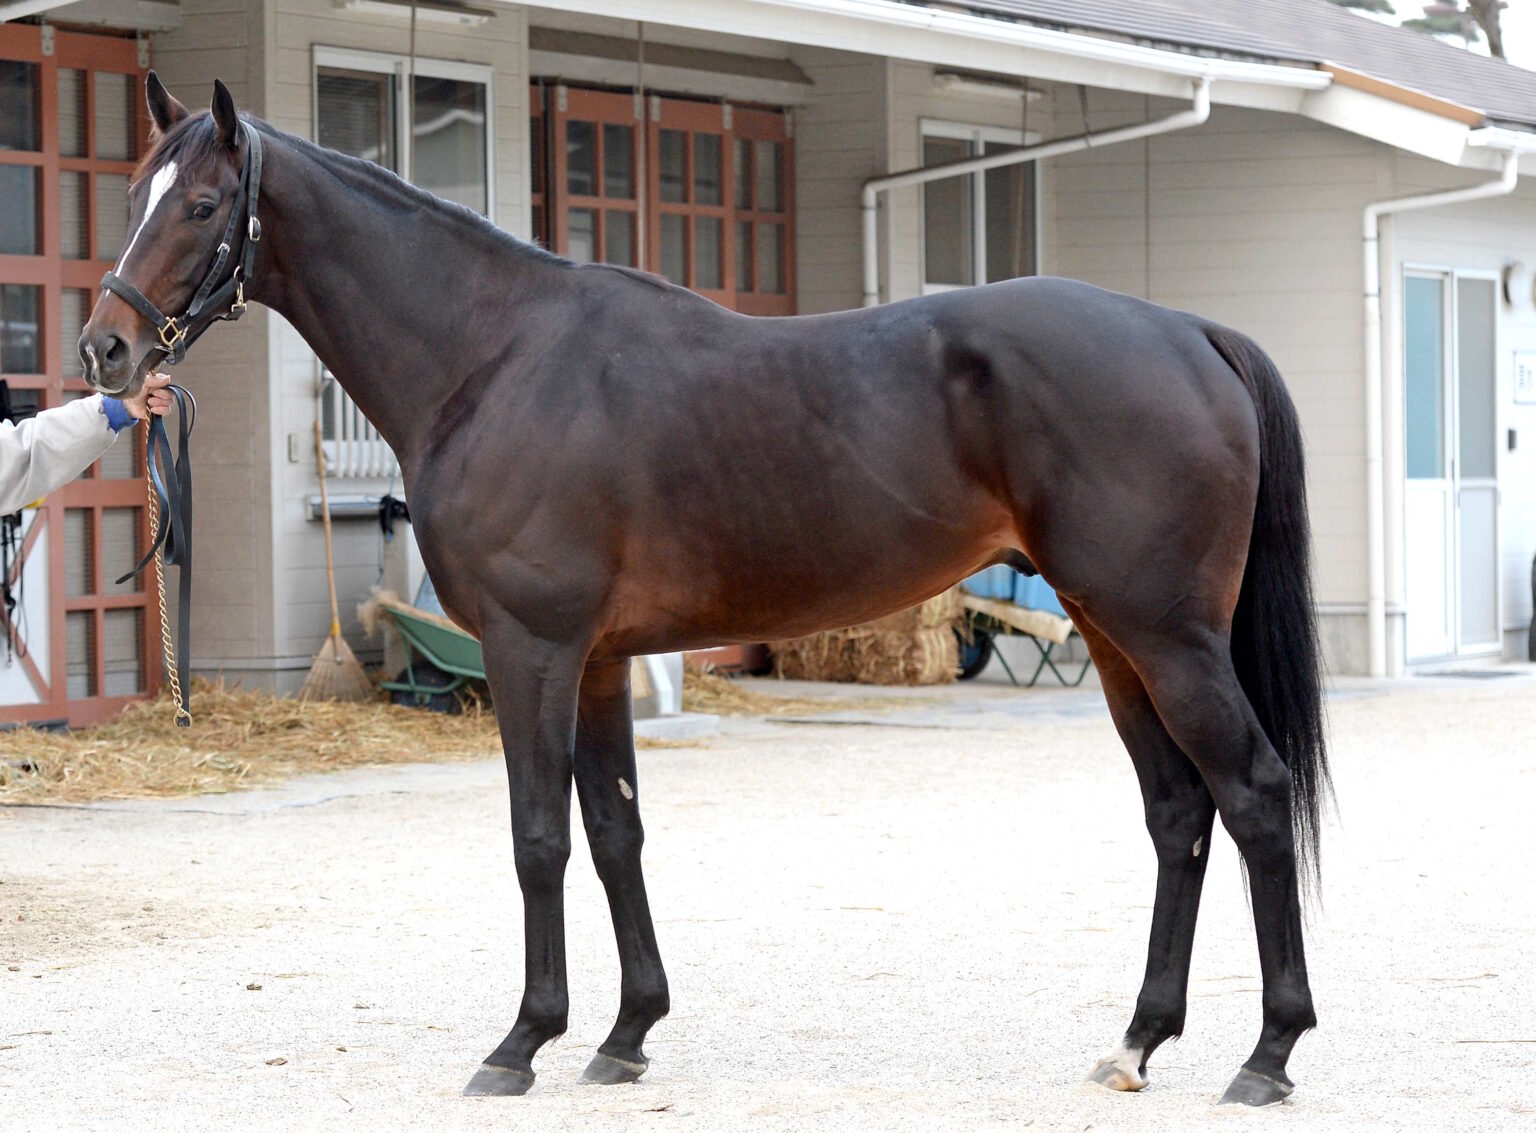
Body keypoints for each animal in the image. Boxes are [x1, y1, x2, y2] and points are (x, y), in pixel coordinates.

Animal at [80, 75, 1330, 1108]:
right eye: (132, 193)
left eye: (201, 203)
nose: (104, 350)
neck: (493, 356)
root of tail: (1190, 331)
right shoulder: (593, 658)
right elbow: (615, 828)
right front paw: (625, 1032)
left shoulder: (532, 647)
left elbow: (539, 834)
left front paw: (520, 1042)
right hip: (1119, 640)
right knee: (1178, 813)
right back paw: (1137, 1041)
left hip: (1169, 639)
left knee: (1255, 794)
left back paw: (1267, 1053)